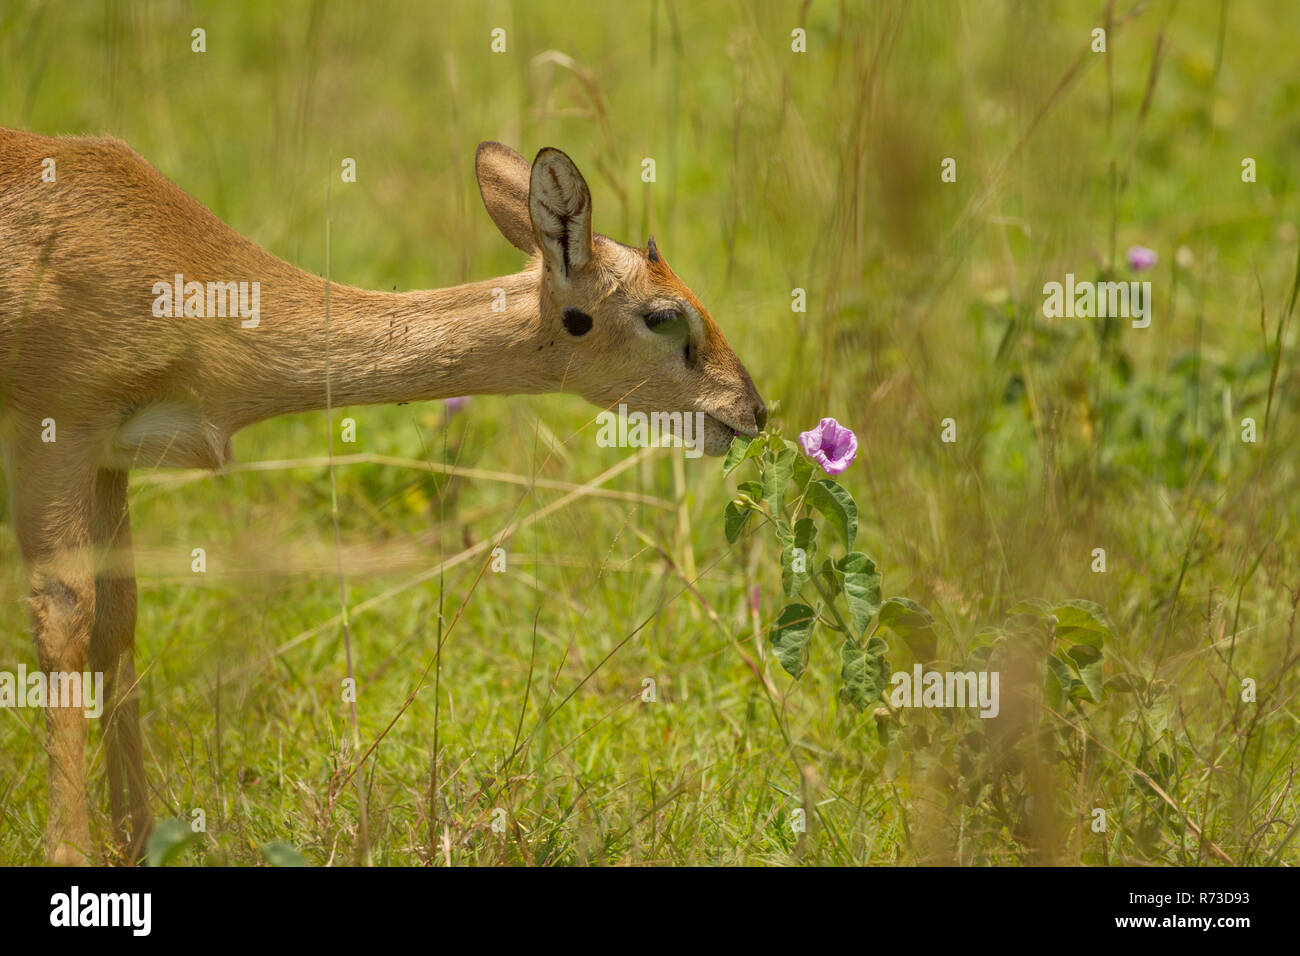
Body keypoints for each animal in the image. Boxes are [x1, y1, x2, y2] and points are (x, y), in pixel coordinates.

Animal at [0, 129, 766, 864]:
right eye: (664, 314)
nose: (752, 410)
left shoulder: (111, 457)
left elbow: (117, 622)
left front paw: (137, 839)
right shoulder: (56, 432)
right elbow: (64, 613)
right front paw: (69, 853)